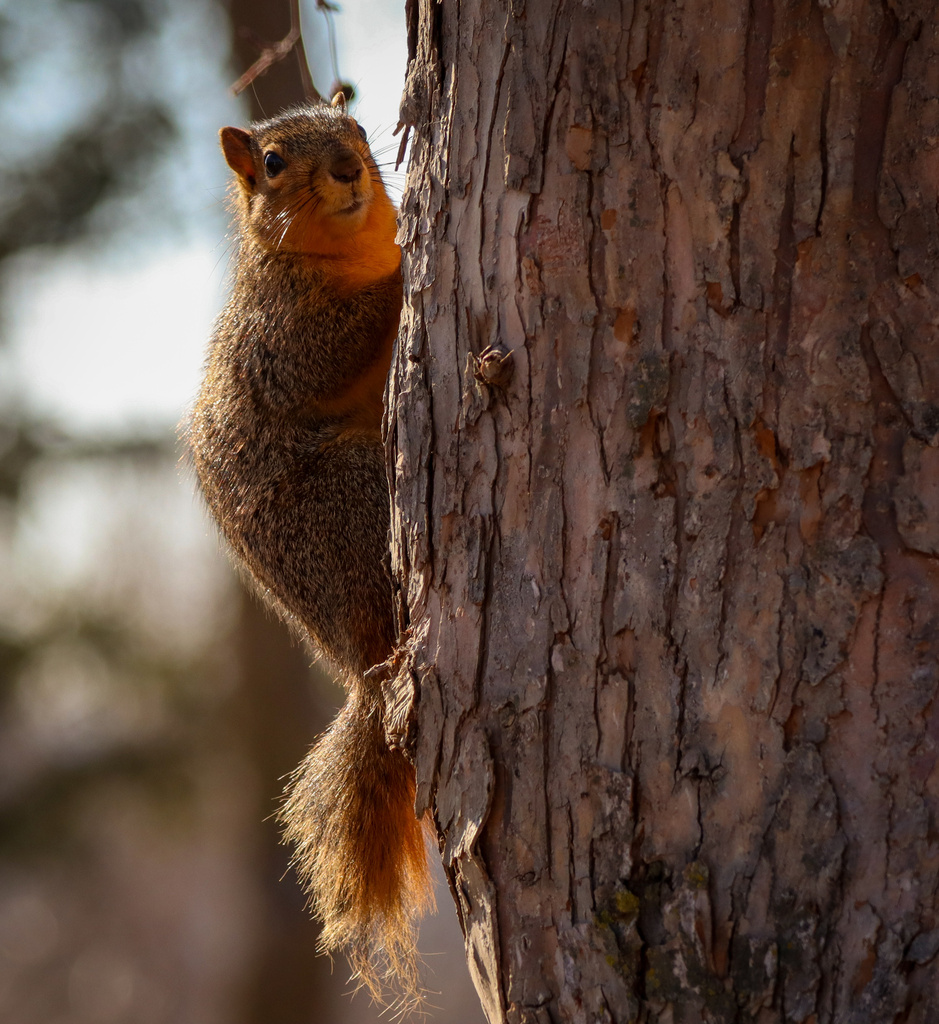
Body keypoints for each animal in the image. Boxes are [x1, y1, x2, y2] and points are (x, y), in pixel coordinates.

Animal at [188, 95, 433, 998]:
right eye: (270, 163)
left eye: (356, 131)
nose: (349, 168)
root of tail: (358, 662)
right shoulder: (278, 339)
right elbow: (326, 350)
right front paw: (405, 268)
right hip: (353, 497)